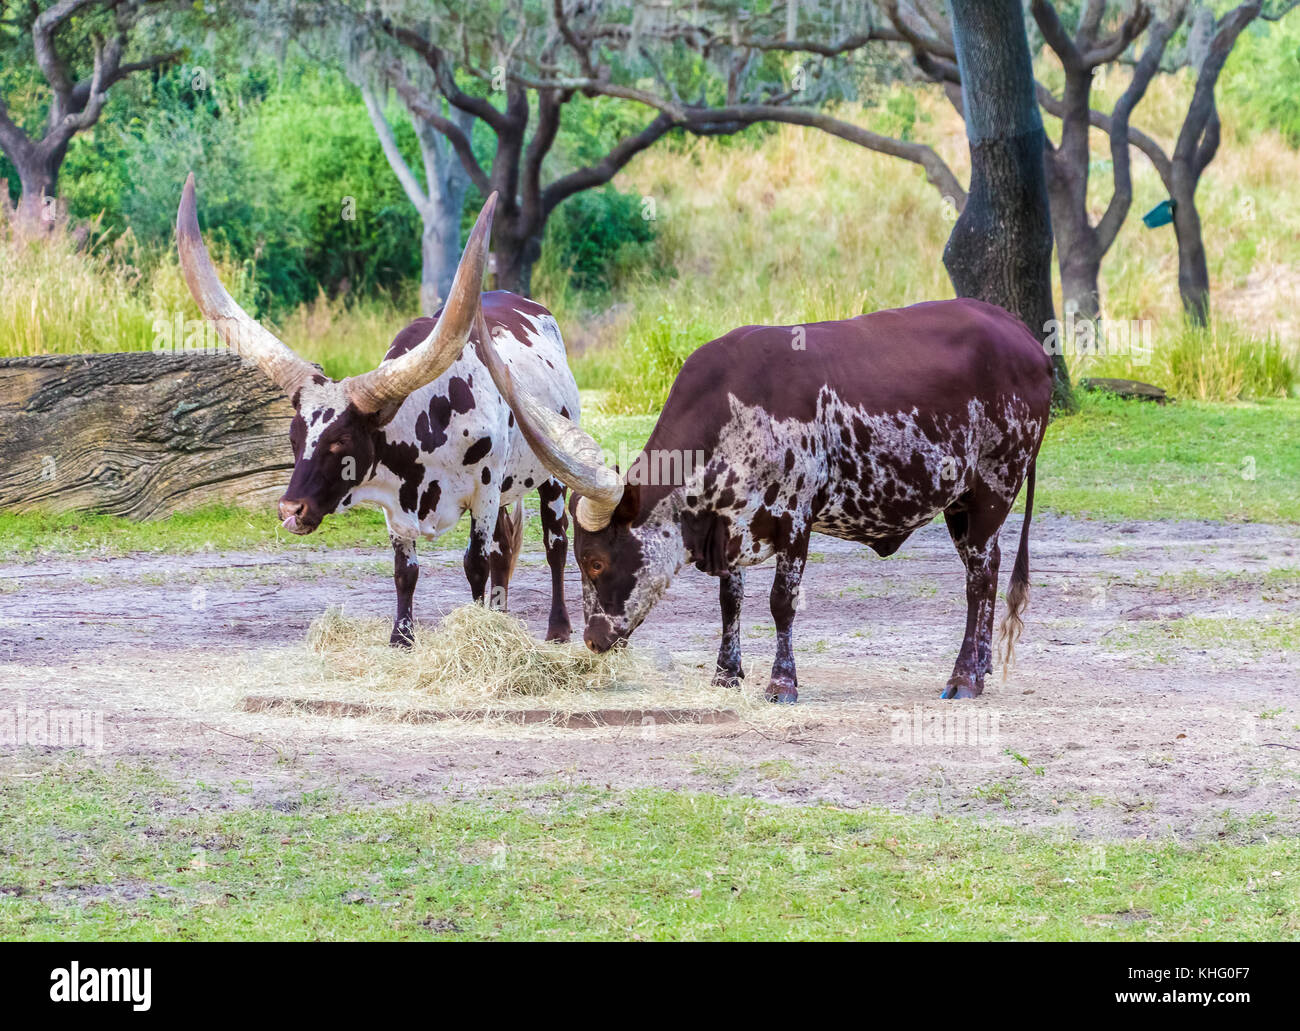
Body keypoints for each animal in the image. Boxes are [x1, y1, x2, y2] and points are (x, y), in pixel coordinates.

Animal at [175, 175, 577, 644]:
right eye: (293, 439)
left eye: (341, 442)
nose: (291, 511)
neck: (430, 419)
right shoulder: (396, 510)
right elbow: (406, 572)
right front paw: (401, 638)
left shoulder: (484, 493)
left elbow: (474, 563)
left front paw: (474, 631)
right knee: (504, 548)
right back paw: (502, 615)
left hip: (552, 472)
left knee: (554, 544)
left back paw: (558, 628)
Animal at [473, 298, 1053, 701]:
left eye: (595, 562)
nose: (592, 640)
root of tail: (1023, 335)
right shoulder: (729, 524)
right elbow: (730, 602)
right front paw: (725, 673)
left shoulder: (794, 520)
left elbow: (781, 603)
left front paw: (781, 683)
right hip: (963, 506)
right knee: (988, 572)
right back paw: (981, 665)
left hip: (991, 492)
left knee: (980, 580)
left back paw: (965, 677)